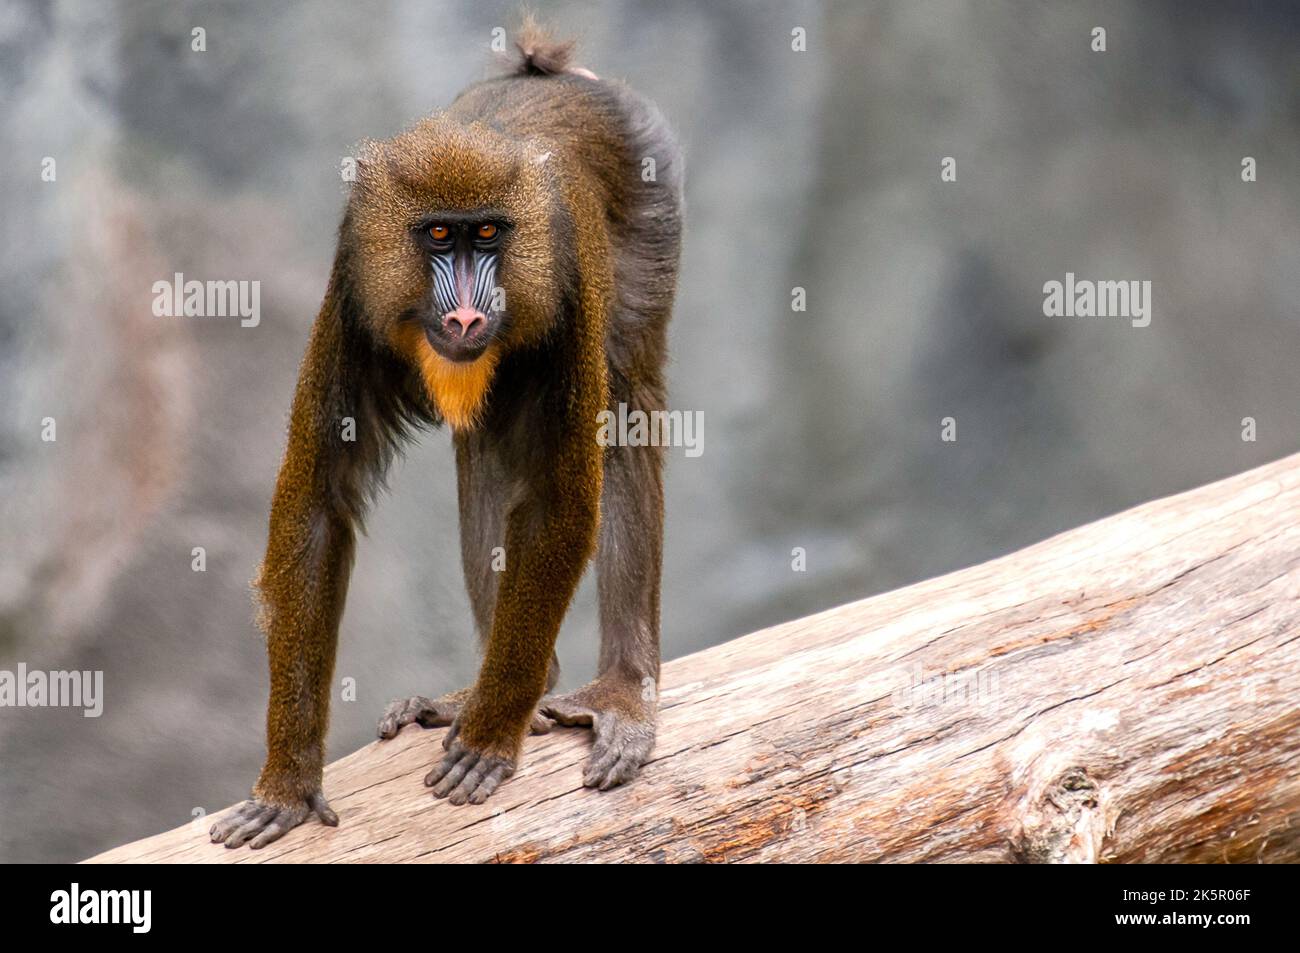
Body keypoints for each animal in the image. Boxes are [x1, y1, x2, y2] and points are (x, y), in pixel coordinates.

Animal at [210, 21, 682, 849]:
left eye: (488, 234)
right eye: (436, 236)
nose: (464, 315)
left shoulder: (564, 281)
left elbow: (561, 504)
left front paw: (491, 737)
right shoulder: (352, 286)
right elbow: (316, 504)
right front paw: (288, 783)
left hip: (650, 219)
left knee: (627, 406)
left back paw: (617, 690)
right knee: (485, 446)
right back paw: (507, 688)